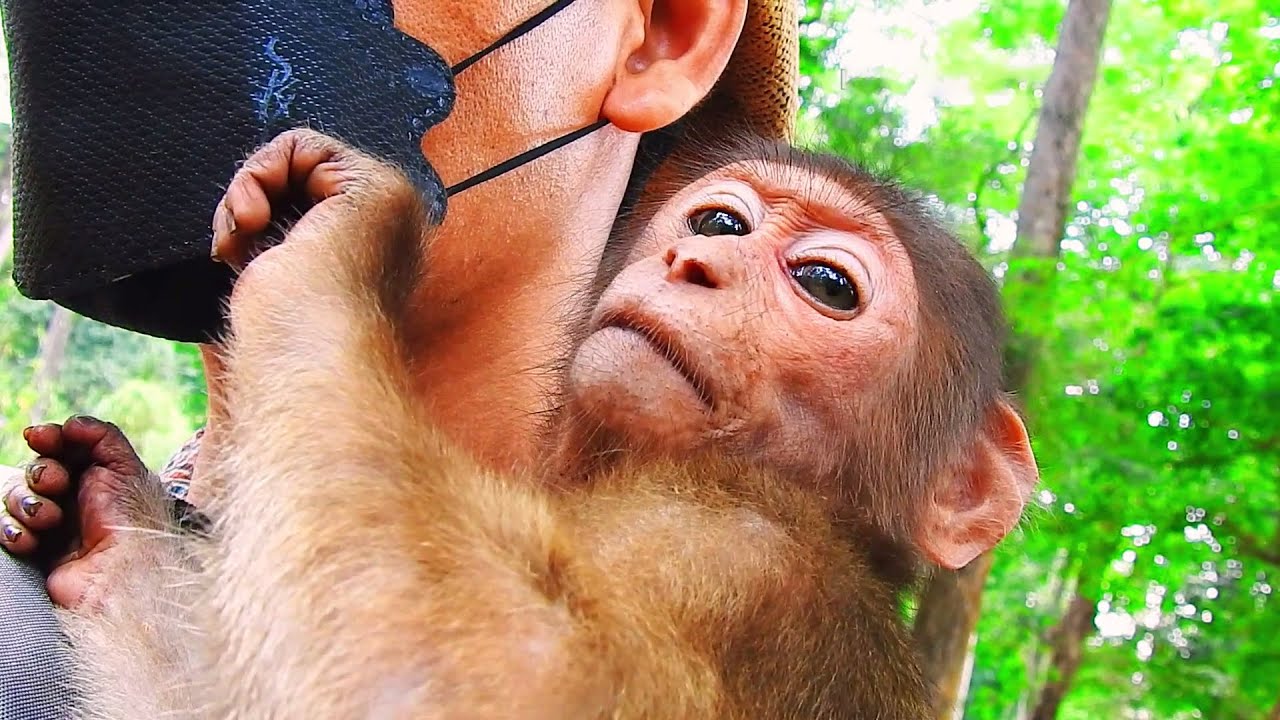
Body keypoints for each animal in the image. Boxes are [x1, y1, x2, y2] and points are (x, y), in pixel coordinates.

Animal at [1, 128, 1038, 719]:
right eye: (720, 224)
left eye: (826, 284)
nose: (696, 263)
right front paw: (112, 527)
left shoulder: (739, 548)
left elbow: (503, 676)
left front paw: (356, 227)